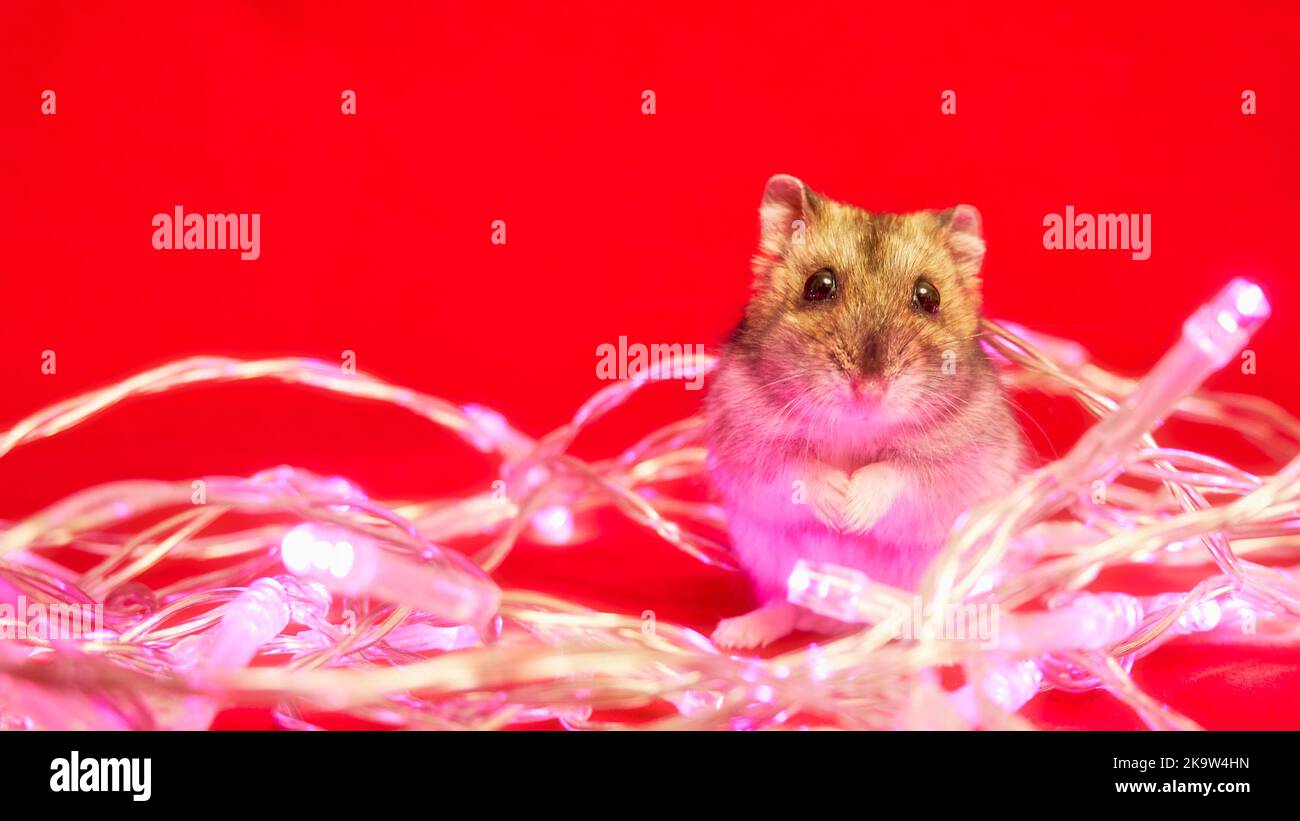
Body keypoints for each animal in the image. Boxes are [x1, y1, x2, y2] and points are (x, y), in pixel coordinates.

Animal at [704, 175, 1025, 649]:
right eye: (818, 285)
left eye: (928, 296)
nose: (868, 390)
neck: (856, 426)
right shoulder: (746, 442)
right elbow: (797, 468)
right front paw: (839, 500)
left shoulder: (959, 464)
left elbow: (898, 474)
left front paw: (852, 508)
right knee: (787, 605)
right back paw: (738, 634)